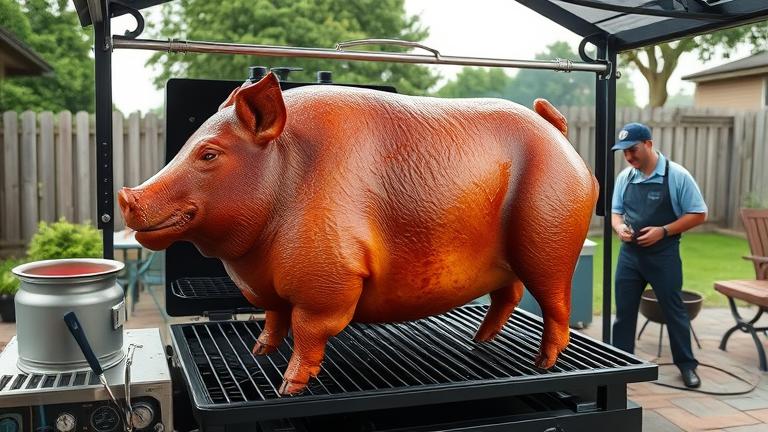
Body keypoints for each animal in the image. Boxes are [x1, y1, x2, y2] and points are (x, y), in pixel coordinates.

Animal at [119, 72, 598, 395]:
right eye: (187, 145)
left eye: (208, 154)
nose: (127, 195)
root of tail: (560, 135)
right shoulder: (273, 287)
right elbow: (273, 317)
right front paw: (258, 353)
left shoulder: (330, 281)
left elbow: (308, 330)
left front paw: (288, 388)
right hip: (511, 258)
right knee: (510, 294)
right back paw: (478, 343)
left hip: (551, 241)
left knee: (556, 305)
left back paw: (541, 364)